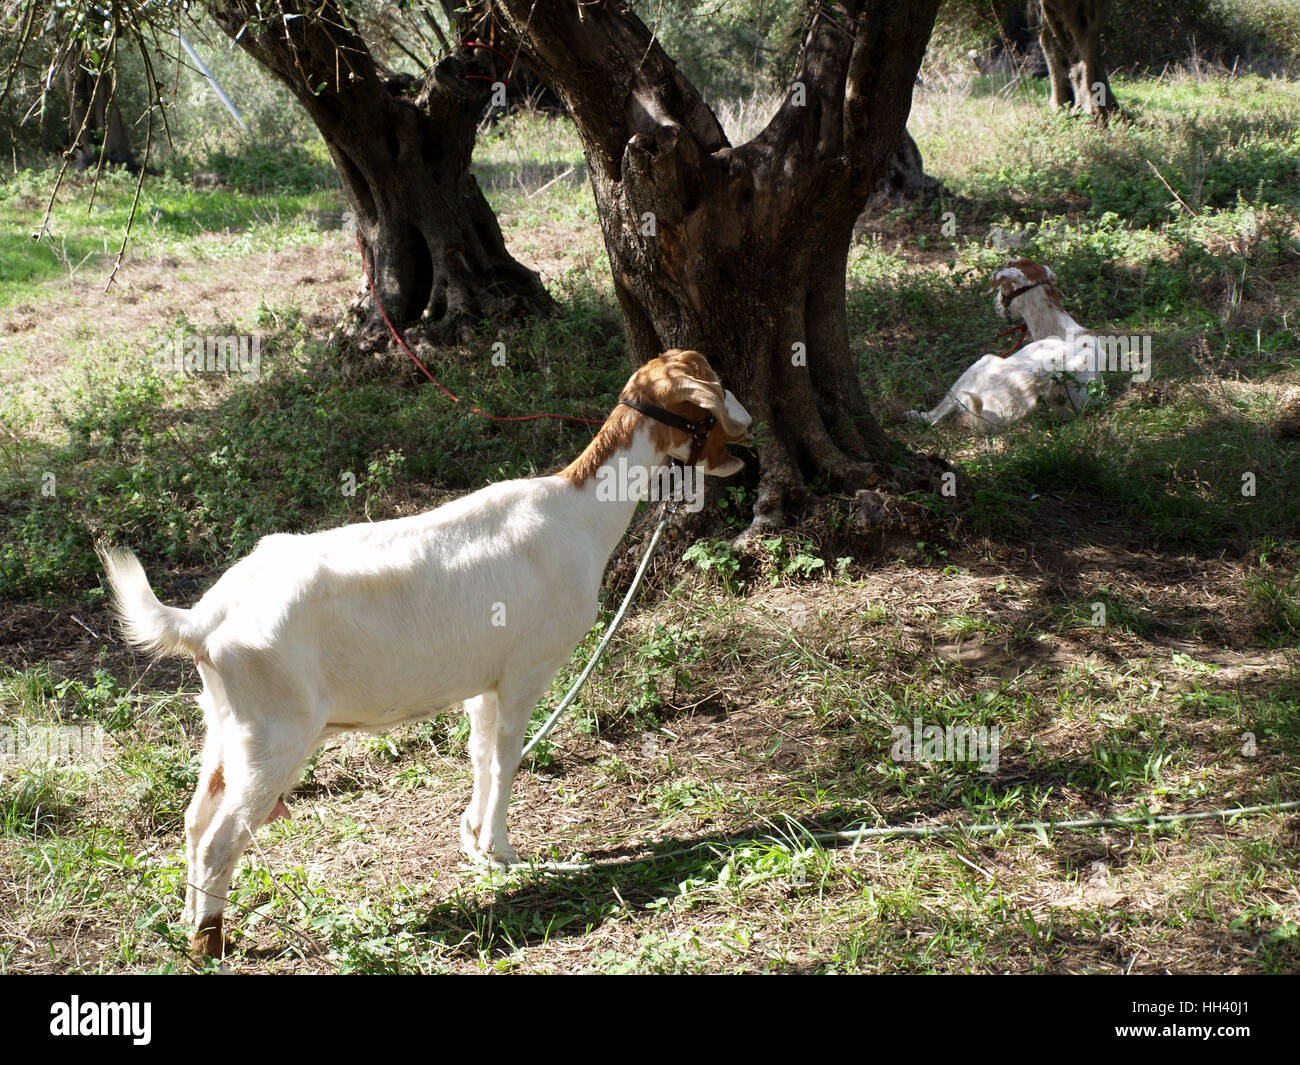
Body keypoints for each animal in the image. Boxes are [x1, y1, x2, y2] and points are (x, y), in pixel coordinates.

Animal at [100, 349, 751, 958]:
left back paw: (189, 922)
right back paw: (211, 942)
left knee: (193, 820)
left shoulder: (482, 683)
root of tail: (204, 619)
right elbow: (508, 756)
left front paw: (476, 842)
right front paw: (502, 849)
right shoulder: (527, 670)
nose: (746, 448)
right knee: (221, 837)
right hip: (275, 734)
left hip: (224, 725)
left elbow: (481, 754)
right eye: (710, 398)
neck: (579, 515)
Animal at [906, 260, 1101, 433]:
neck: (1064, 329)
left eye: (1002, 288)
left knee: (934, 417)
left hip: (981, 365)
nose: (997, 308)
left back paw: (916, 415)